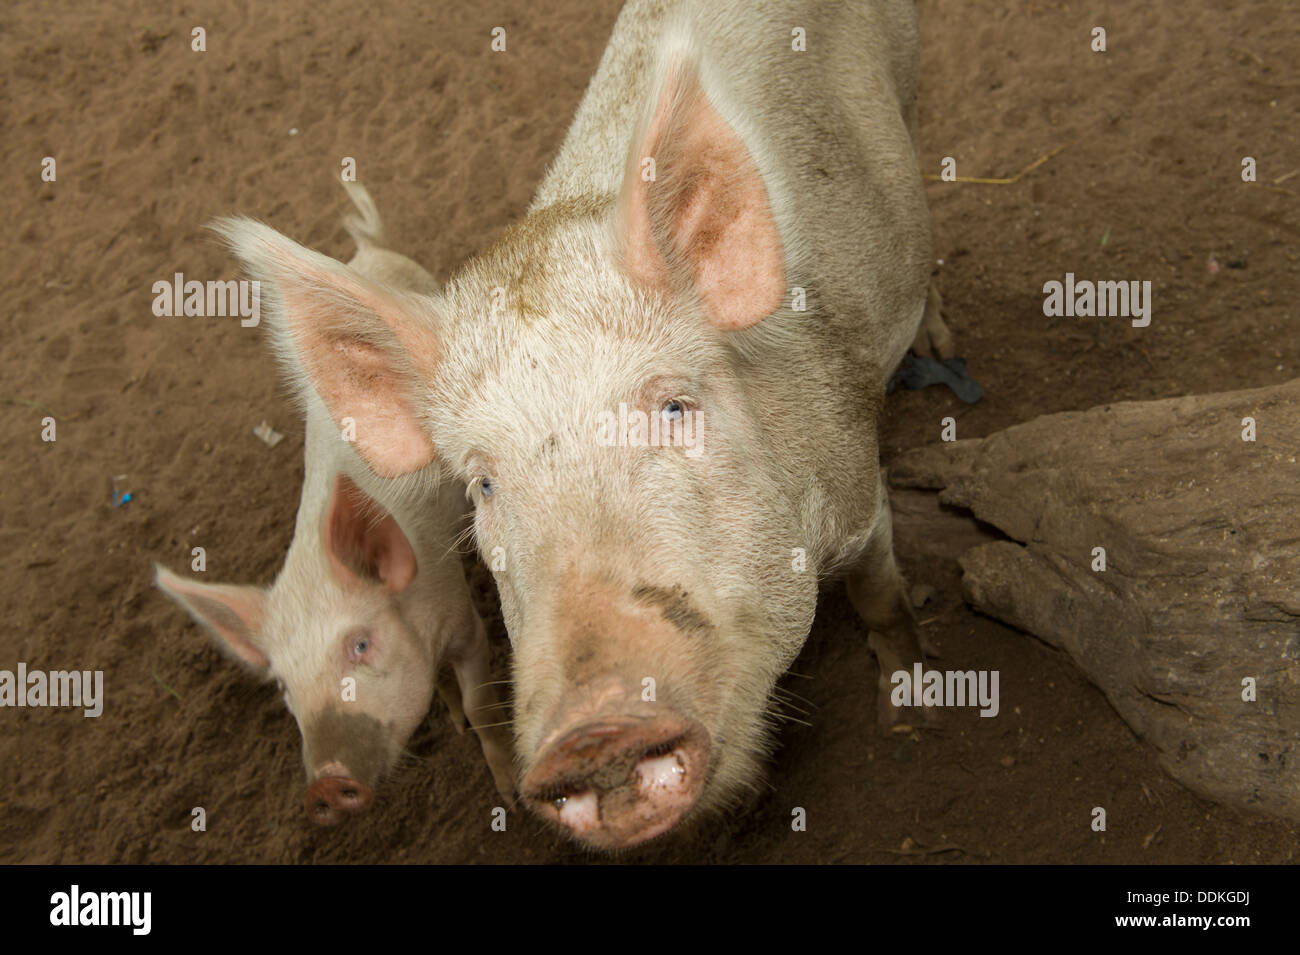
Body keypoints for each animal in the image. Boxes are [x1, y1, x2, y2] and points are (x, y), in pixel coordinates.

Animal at [156, 182, 514, 825]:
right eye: (283, 688)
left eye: (360, 645)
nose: (324, 785)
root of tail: (365, 251)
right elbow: (447, 697)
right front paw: (449, 720)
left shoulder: (466, 625)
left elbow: (483, 708)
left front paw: (511, 799)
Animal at [212, 0, 948, 847]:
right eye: (484, 483)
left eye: (673, 407)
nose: (593, 733)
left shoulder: (857, 474)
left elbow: (881, 595)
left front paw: (910, 703)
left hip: (909, 74)